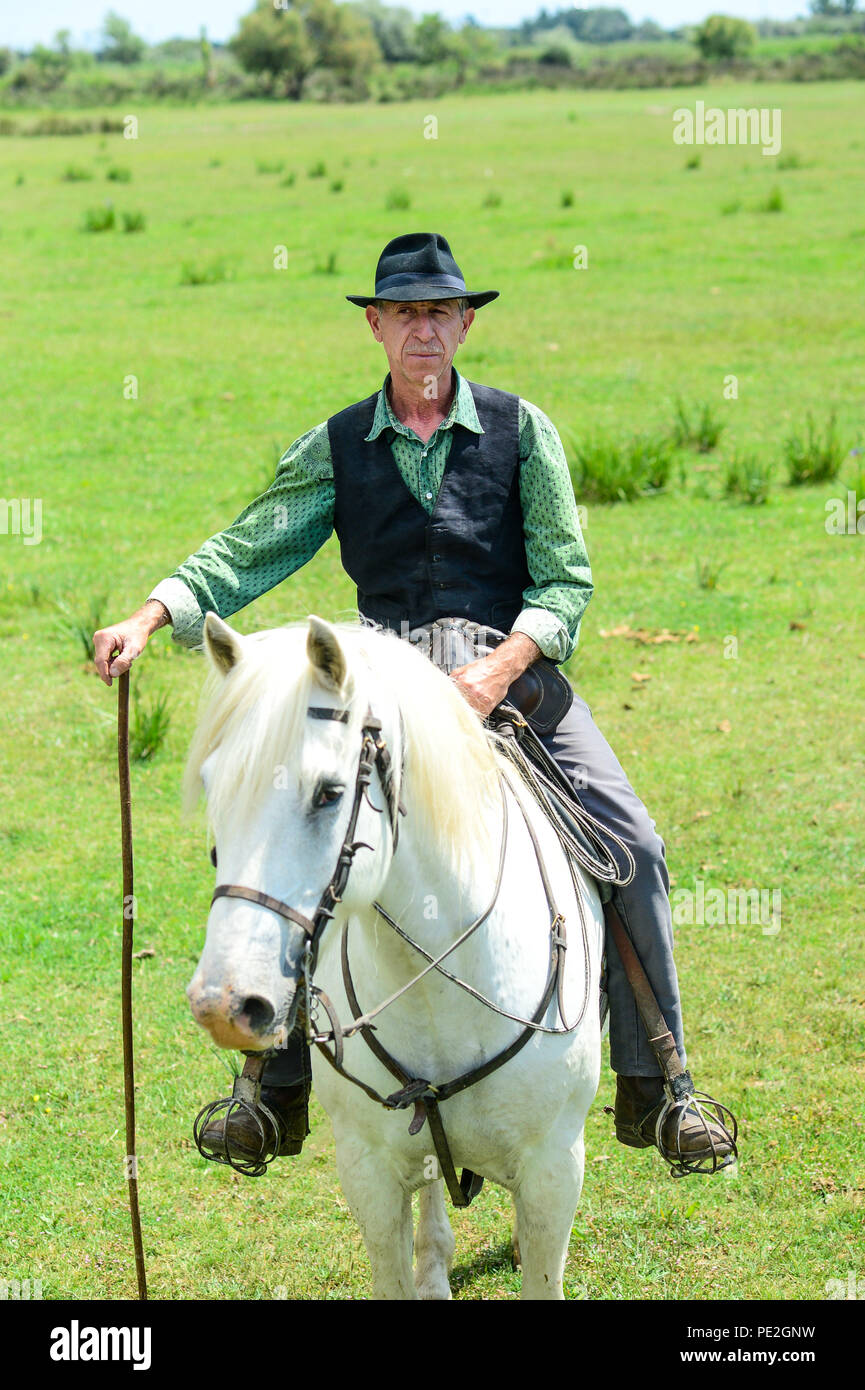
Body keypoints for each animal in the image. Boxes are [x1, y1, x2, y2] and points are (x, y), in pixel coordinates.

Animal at [184, 611, 605, 1300]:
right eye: (215, 789)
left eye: (328, 794)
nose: (224, 1004)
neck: (442, 985)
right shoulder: (369, 1172)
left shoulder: (553, 1171)